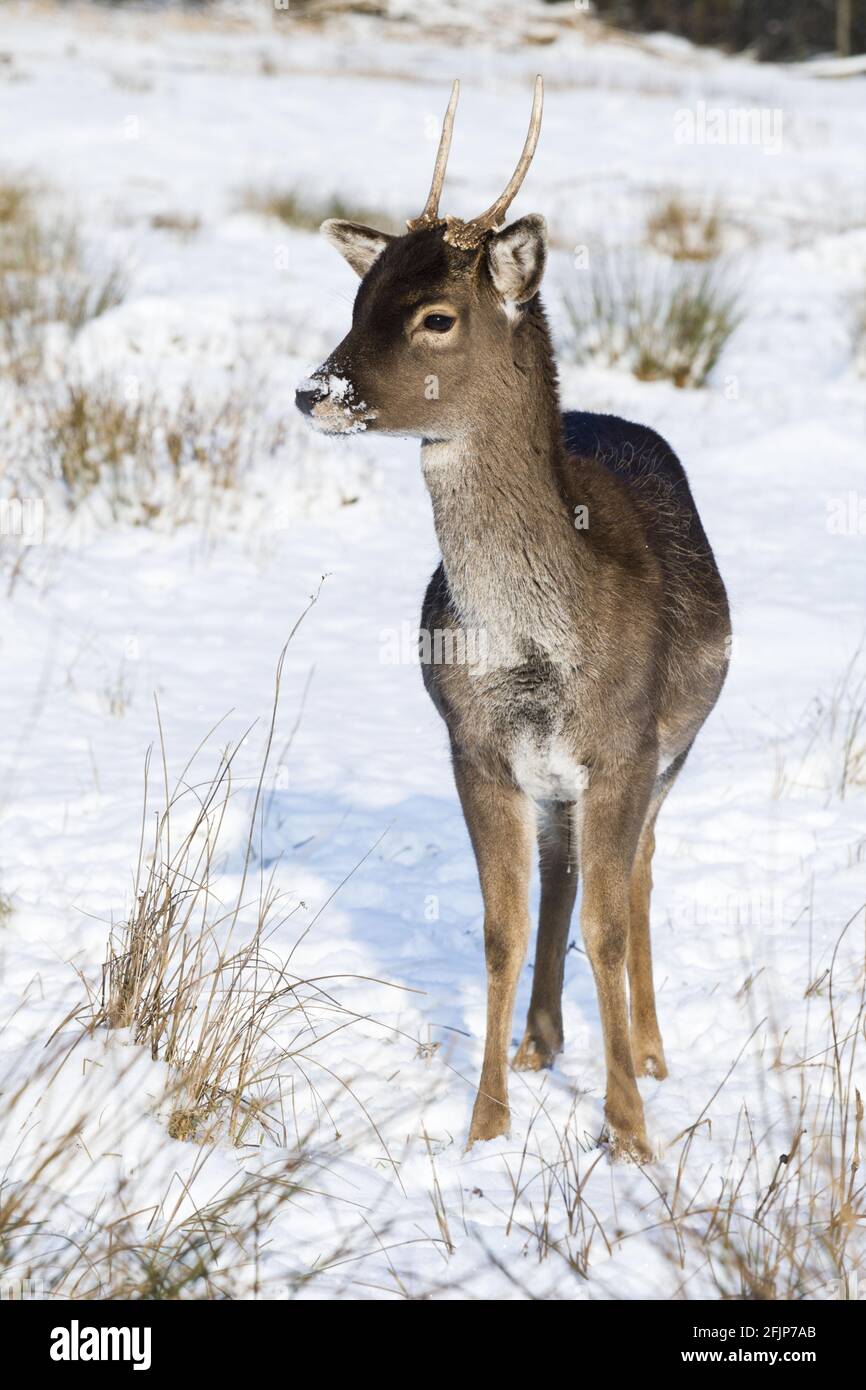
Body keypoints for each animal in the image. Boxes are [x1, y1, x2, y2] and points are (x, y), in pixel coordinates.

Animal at [295, 78, 730, 1160]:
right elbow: (501, 925)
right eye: (357, 302)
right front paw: (486, 1121)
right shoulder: (474, 744)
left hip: (677, 745)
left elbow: (611, 923)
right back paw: (542, 1040)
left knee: (637, 872)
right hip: (556, 782)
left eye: (437, 316)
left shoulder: (623, 743)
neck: (537, 645)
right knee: (564, 874)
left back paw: (649, 1049)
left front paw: (630, 1129)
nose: (315, 390)